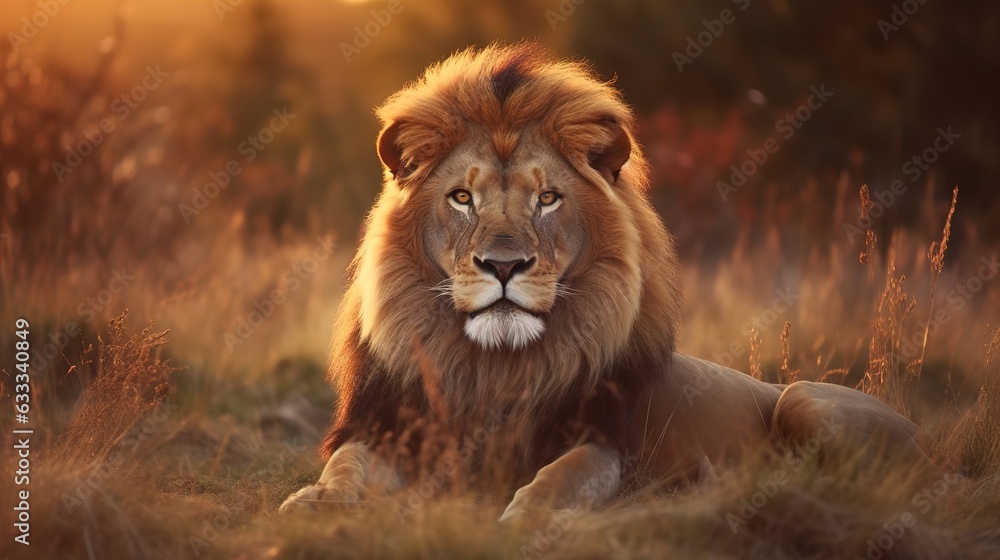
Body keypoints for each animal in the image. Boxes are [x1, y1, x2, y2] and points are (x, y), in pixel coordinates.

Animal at [280, 43, 932, 520]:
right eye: (462, 198)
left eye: (547, 199)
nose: (503, 266)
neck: (492, 370)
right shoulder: (384, 427)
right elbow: (346, 466)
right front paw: (316, 501)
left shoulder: (599, 441)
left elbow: (561, 479)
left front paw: (526, 517)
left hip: (805, 399)